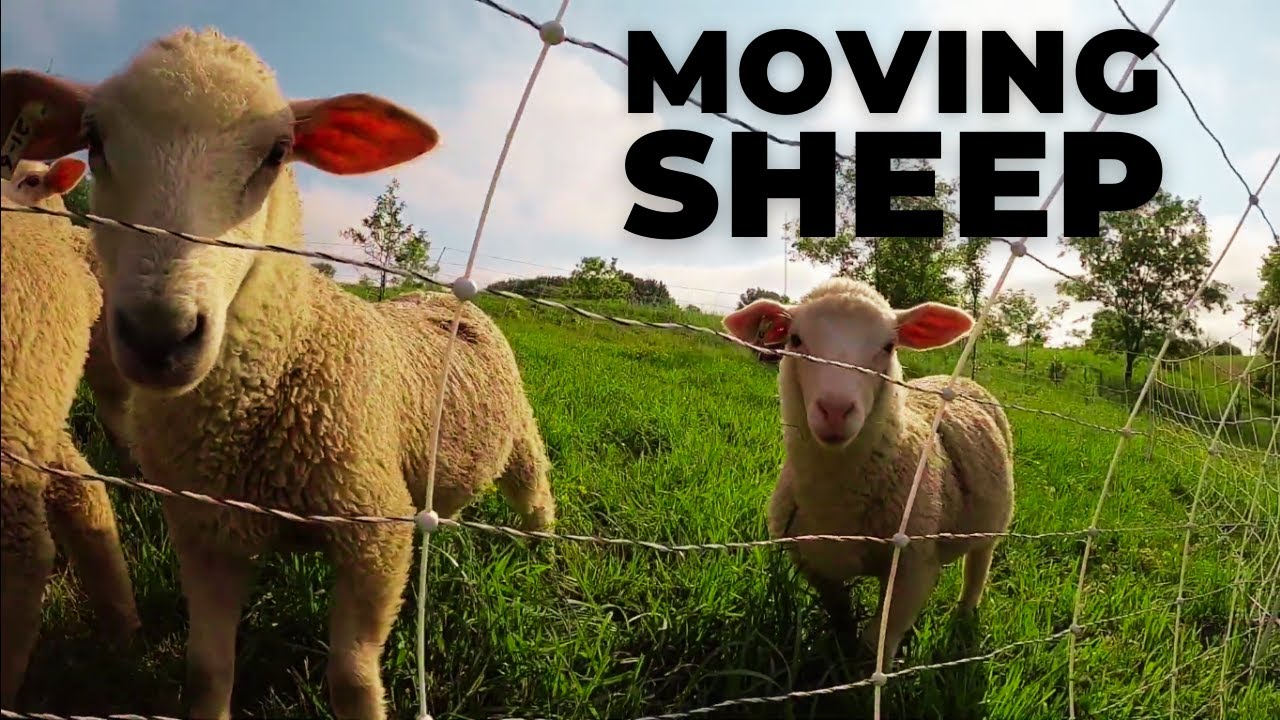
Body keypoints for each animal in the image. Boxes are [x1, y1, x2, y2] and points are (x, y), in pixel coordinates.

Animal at [722, 277, 1014, 670]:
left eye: (888, 346)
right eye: (796, 340)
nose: (835, 410)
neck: (837, 503)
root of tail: (962, 381)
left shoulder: (913, 568)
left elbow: (876, 643)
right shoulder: (816, 565)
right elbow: (842, 621)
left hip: (990, 526)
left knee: (977, 569)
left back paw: (964, 616)